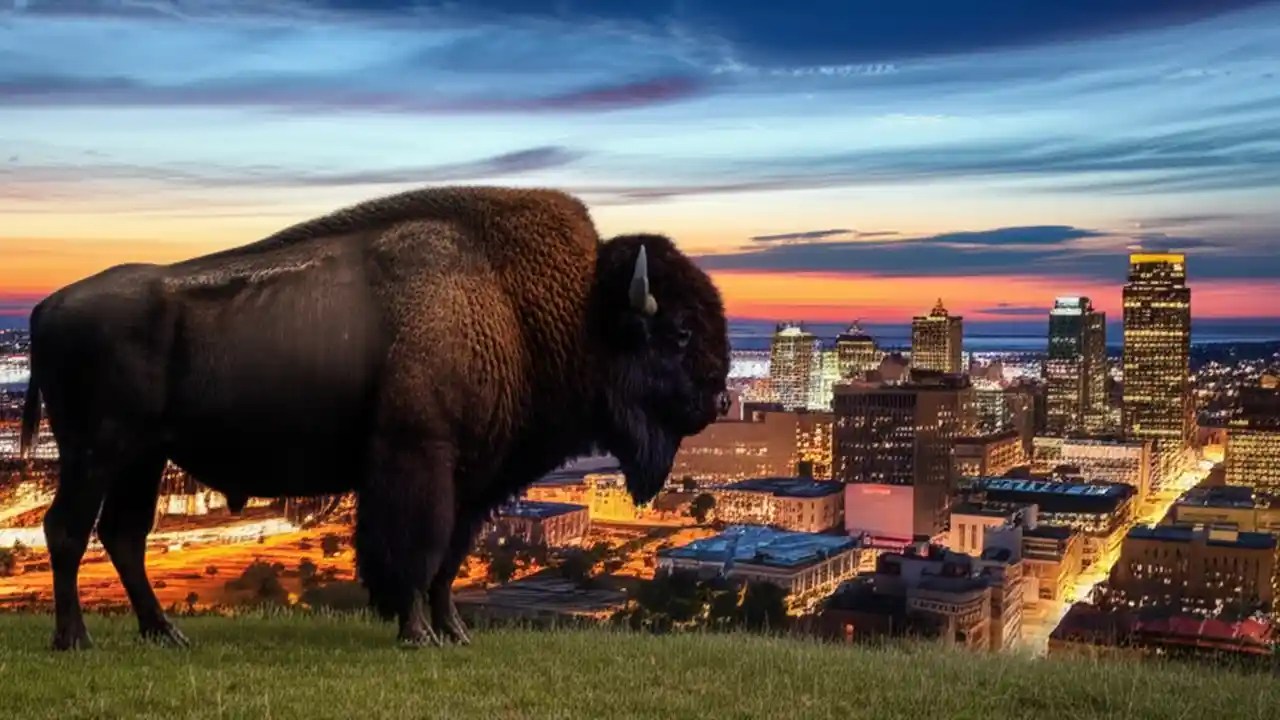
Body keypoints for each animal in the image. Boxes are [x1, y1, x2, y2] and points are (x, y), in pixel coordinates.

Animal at [19, 186, 731, 650]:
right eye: (680, 333)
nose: (719, 399)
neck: (543, 309)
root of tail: (47, 307)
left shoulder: (475, 481)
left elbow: (448, 558)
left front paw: (455, 631)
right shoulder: (416, 458)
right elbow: (412, 552)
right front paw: (417, 633)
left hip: (143, 457)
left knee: (124, 536)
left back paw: (165, 632)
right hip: (95, 452)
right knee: (67, 530)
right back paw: (75, 639)